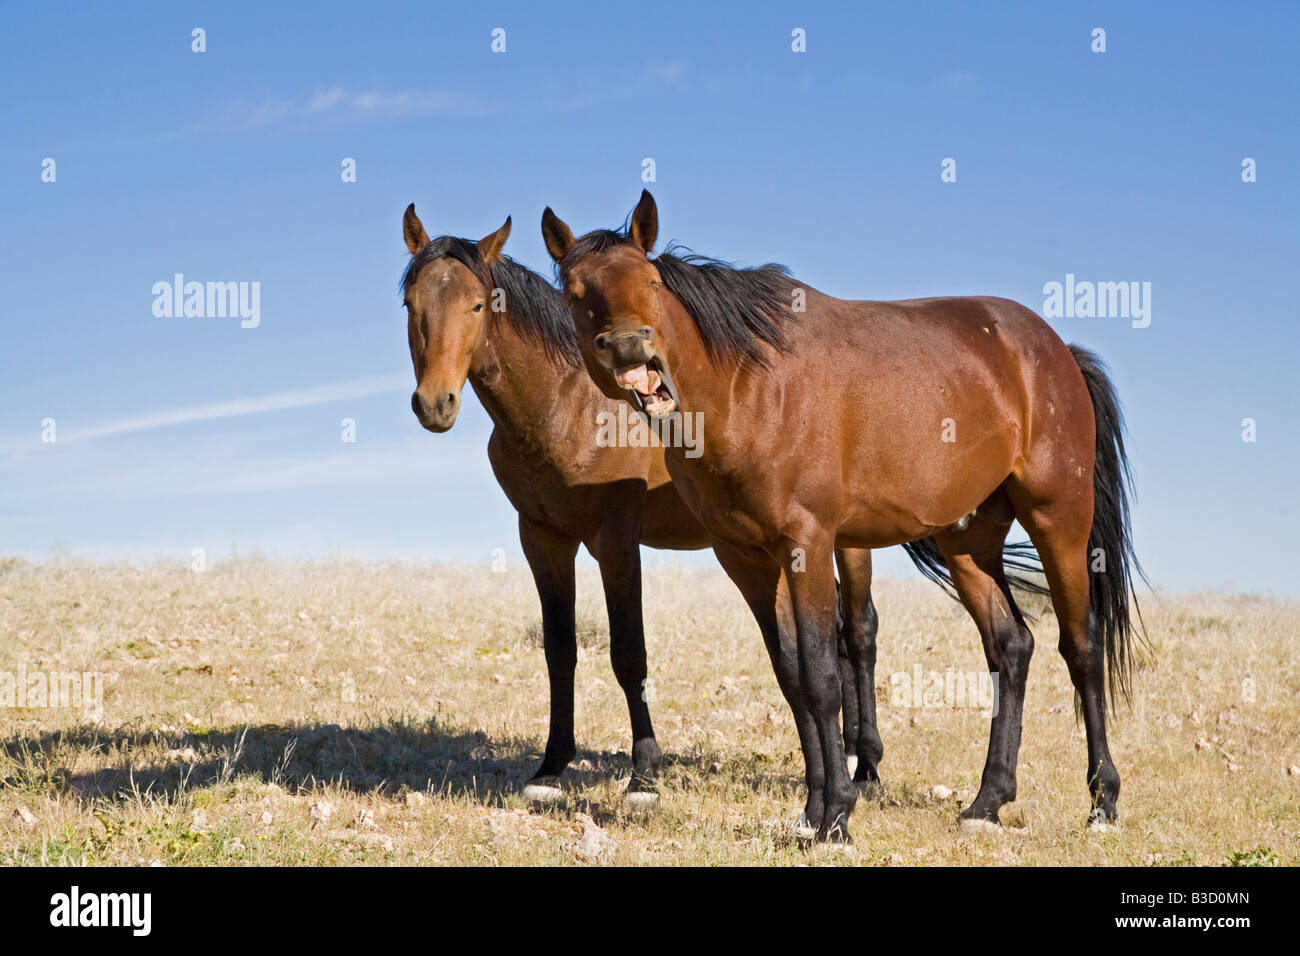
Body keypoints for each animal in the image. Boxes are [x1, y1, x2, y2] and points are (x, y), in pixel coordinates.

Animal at [400, 204, 937, 806]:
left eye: (476, 304)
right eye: (411, 304)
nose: (435, 404)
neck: (569, 402)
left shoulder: (614, 538)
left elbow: (627, 651)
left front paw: (644, 773)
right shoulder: (542, 537)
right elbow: (559, 650)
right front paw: (551, 766)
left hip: (846, 541)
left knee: (859, 632)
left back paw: (866, 767)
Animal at [540, 190, 1144, 842]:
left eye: (651, 281)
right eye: (574, 292)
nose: (632, 349)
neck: (749, 387)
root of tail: (1055, 352)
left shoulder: (807, 543)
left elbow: (823, 678)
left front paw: (836, 814)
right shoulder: (745, 557)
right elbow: (793, 679)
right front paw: (813, 812)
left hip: (1059, 519)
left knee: (1080, 648)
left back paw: (1103, 802)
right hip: (969, 540)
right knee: (1011, 647)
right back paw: (987, 801)